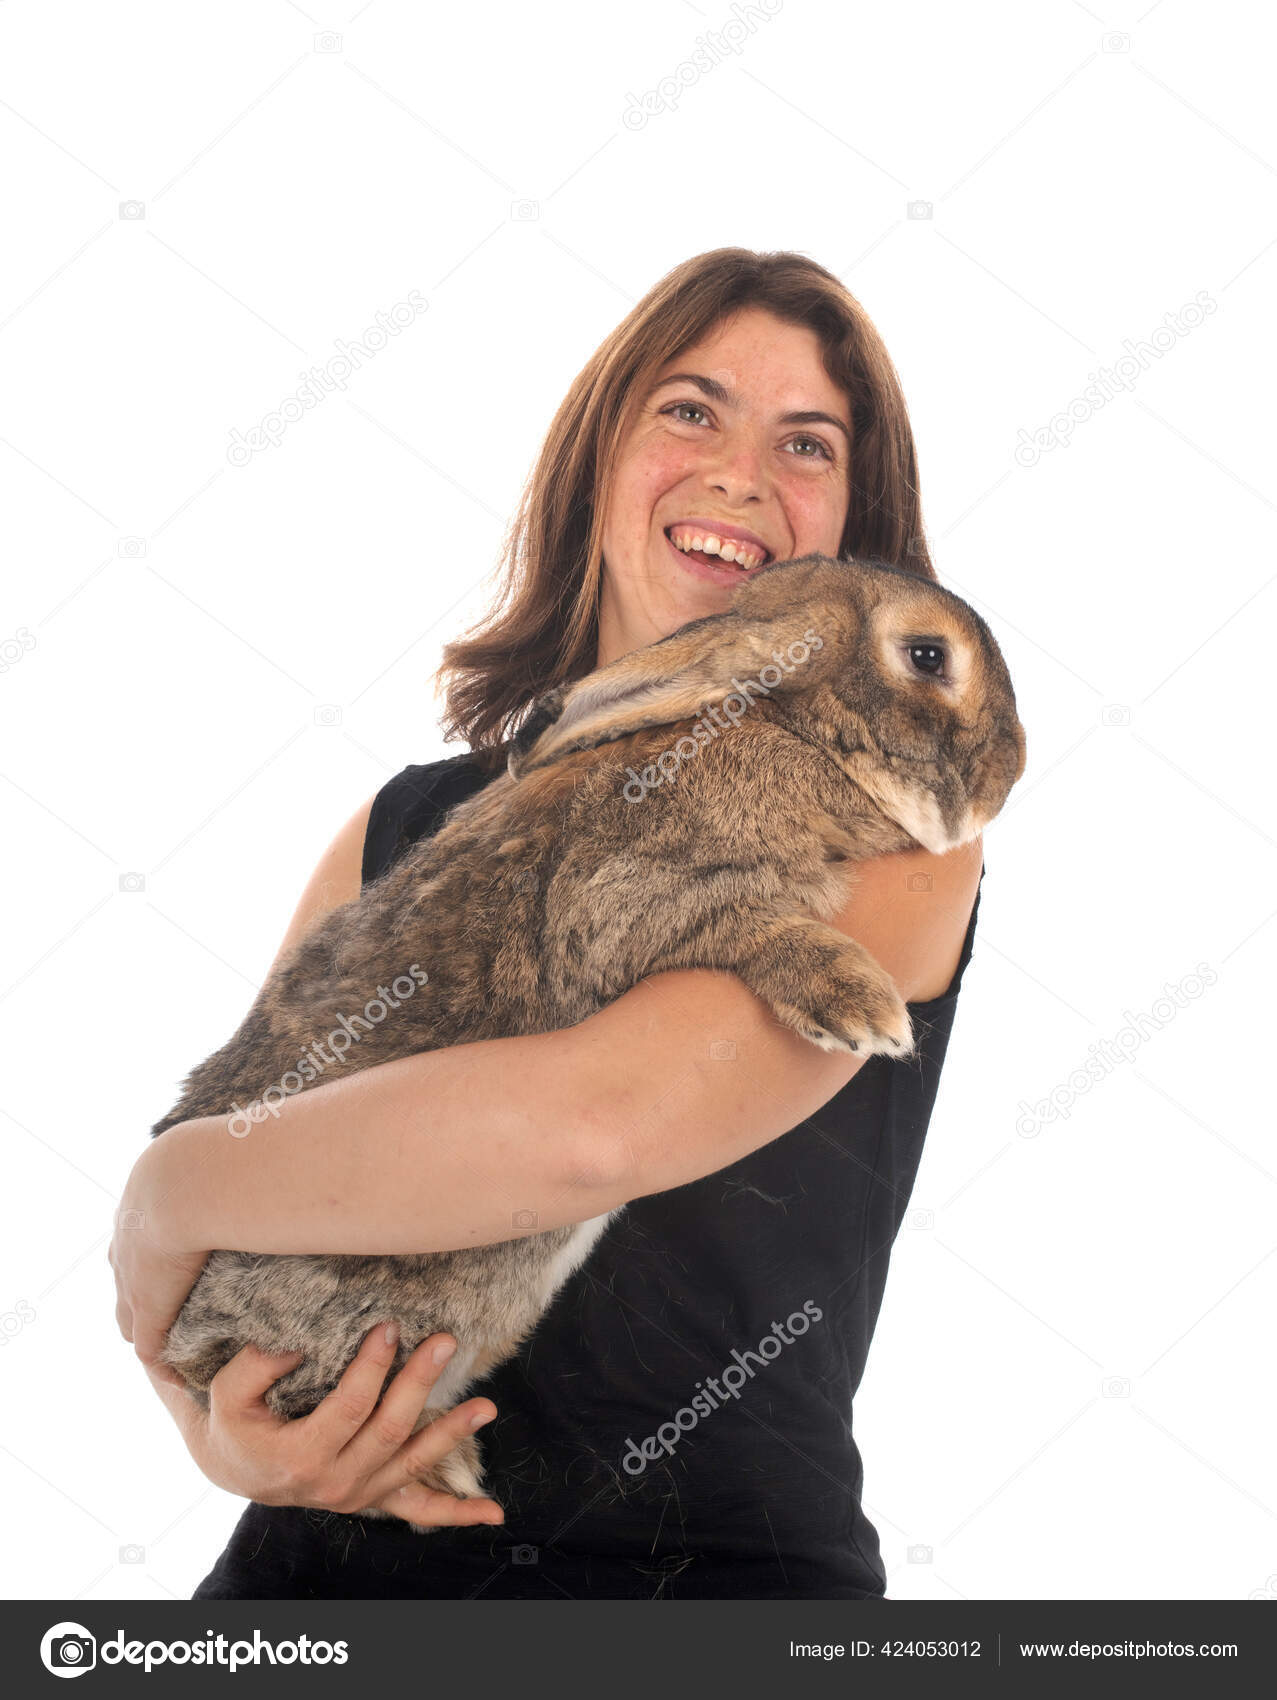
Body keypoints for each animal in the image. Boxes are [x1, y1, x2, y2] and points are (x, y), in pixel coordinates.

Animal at [148, 551, 1027, 1524]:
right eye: (926, 655)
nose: (1012, 769)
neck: (787, 735)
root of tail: (185, 1352)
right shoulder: (616, 906)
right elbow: (744, 925)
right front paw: (860, 1007)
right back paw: (446, 1472)